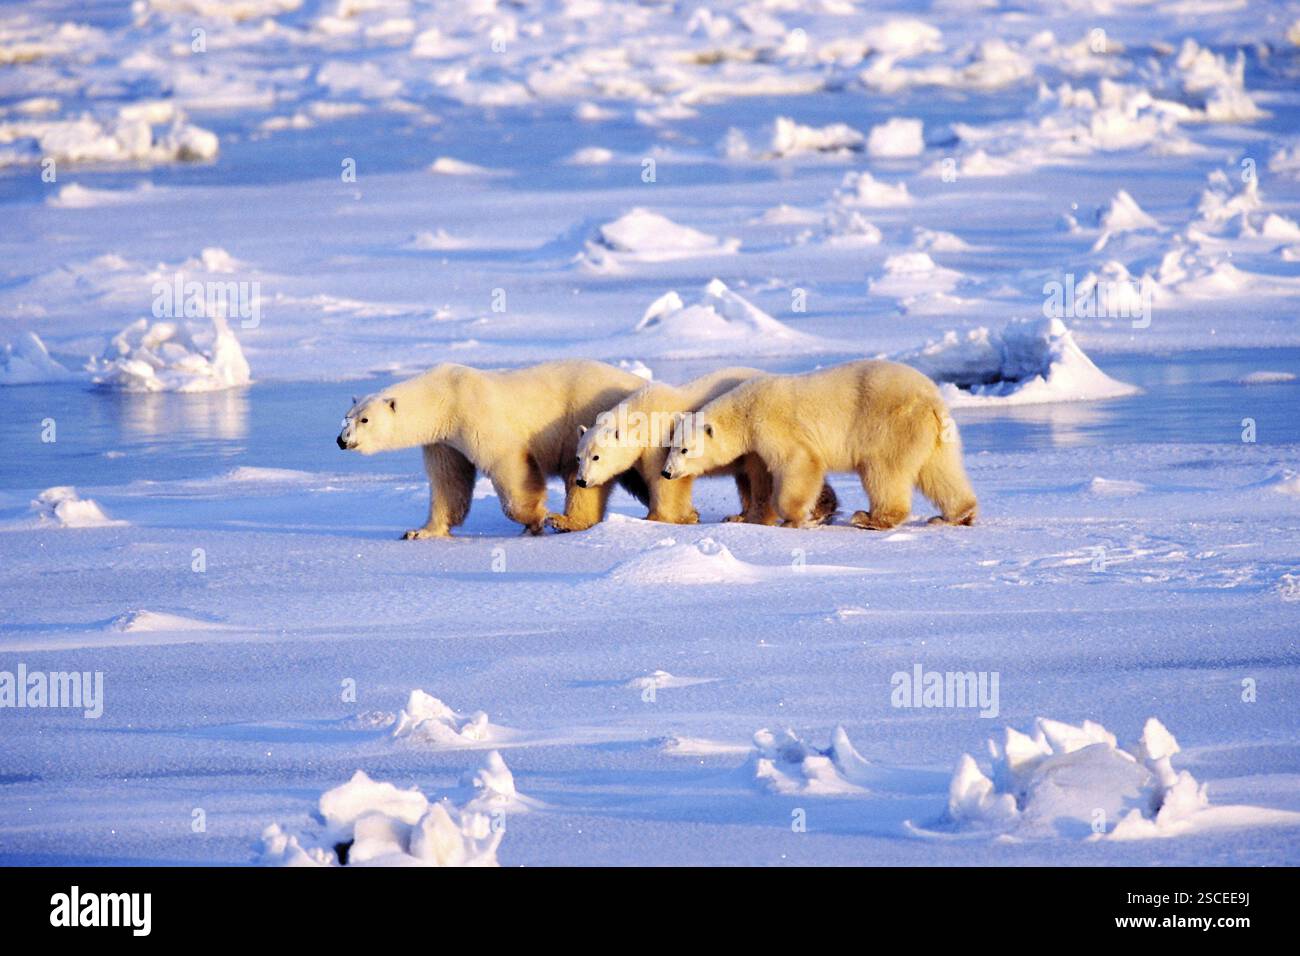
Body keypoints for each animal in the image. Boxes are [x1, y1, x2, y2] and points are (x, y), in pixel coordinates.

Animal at [337, 360, 650, 537]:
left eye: (365, 419)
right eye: (346, 417)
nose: (342, 440)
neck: (444, 397)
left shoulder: (474, 414)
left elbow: (508, 463)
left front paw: (534, 519)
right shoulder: (444, 441)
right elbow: (448, 481)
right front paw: (421, 531)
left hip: (589, 420)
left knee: (583, 477)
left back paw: (567, 521)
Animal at [574, 367, 837, 526]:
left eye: (596, 457)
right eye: (578, 457)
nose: (581, 481)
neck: (644, 413)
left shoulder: (661, 440)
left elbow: (666, 482)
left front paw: (657, 517)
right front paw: (688, 516)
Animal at [660, 359, 977, 530]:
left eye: (684, 449)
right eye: (670, 445)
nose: (667, 472)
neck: (745, 408)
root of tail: (931, 400)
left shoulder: (775, 425)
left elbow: (798, 463)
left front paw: (796, 518)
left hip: (891, 426)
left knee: (883, 470)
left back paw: (870, 518)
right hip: (936, 434)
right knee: (940, 470)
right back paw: (954, 515)